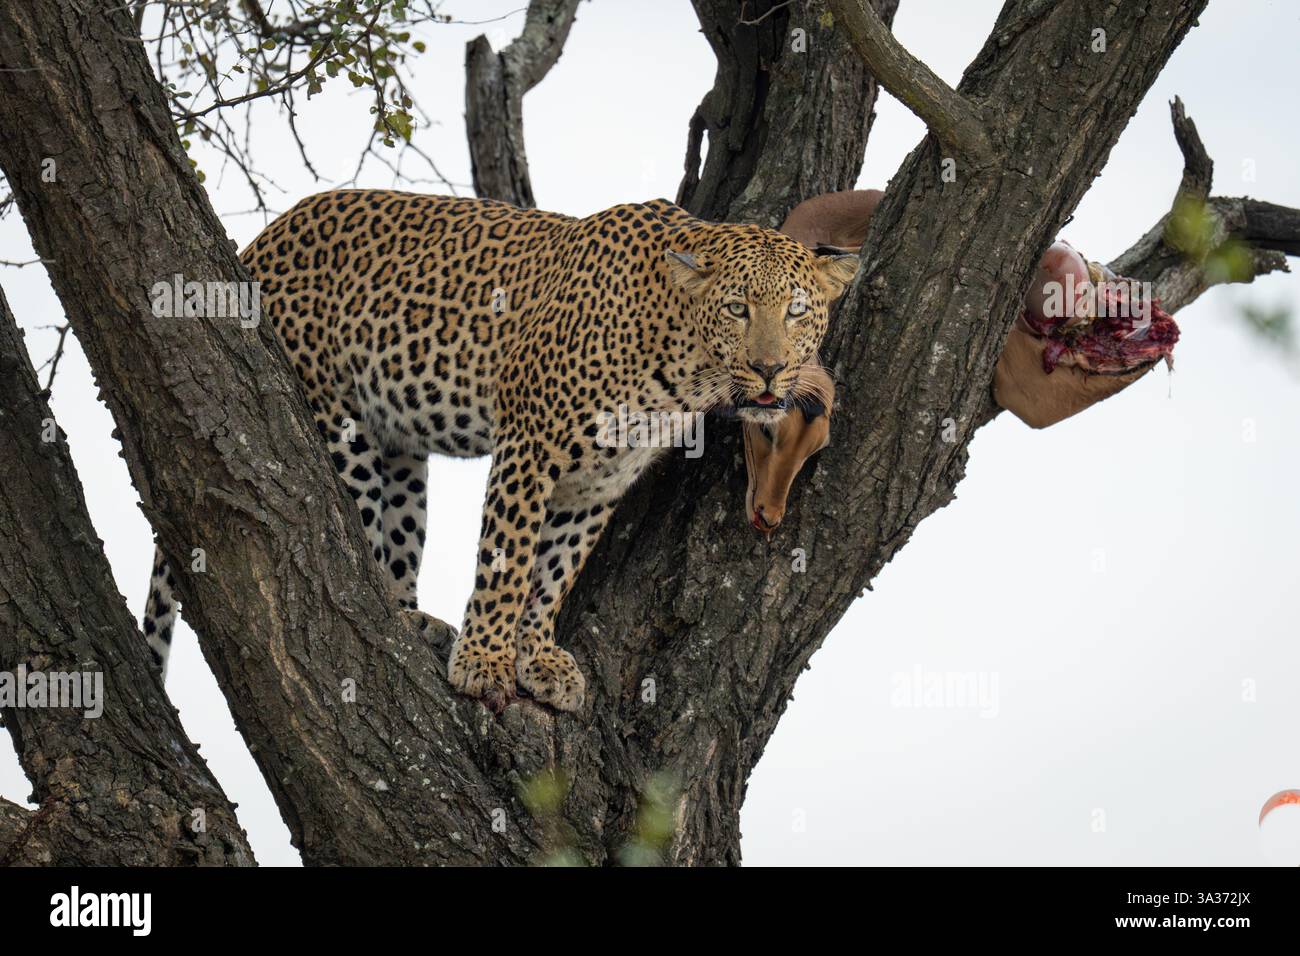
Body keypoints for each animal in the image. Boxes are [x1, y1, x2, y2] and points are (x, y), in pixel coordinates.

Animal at [141, 190, 859, 712]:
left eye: (797, 311)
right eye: (737, 308)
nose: (769, 370)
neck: (684, 365)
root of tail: (255, 243)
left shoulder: (600, 479)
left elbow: (554, 573)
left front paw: (536, 657)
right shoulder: (530, 443)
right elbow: (507, 562)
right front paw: (486, 661)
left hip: (403, 458)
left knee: (395, 546)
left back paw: (415, 622)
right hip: (332, 418)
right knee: (353, 539)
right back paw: (407, 623)